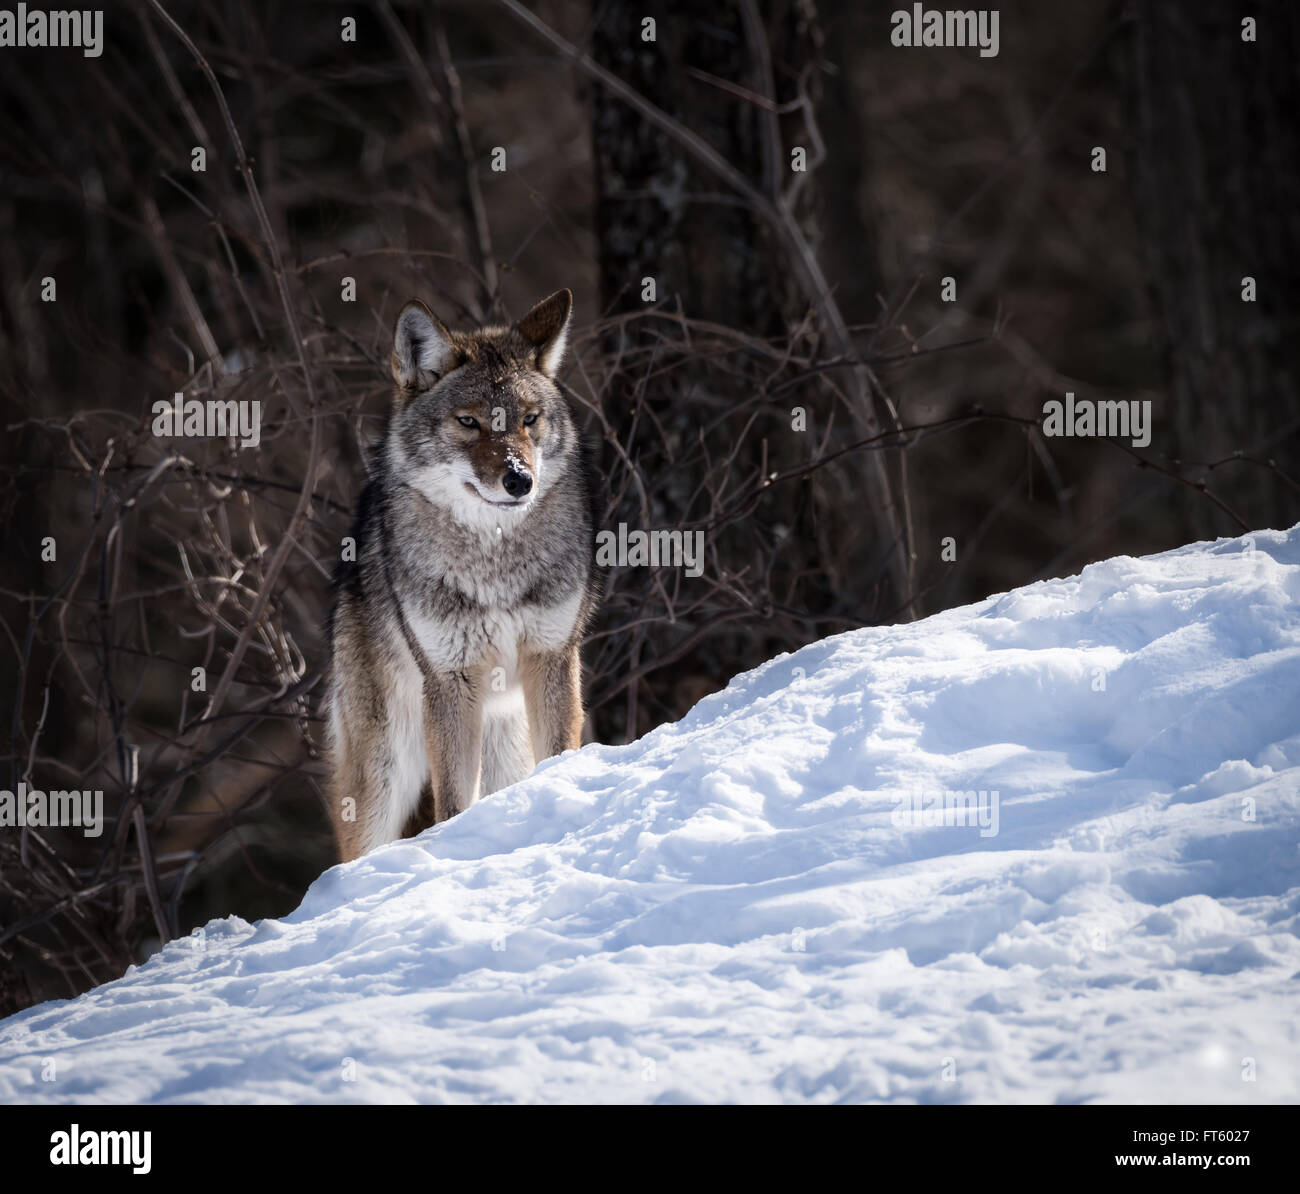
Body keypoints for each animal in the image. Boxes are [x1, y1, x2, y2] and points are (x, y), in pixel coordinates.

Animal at [327, 289, 598, 862]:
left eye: (530, 419)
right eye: (469, 422)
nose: (519, 480)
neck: (494, 559)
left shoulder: (552, 656)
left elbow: (559, 752)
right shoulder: (452, 680)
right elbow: (452, 804)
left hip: (506, 743)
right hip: (384, 770)